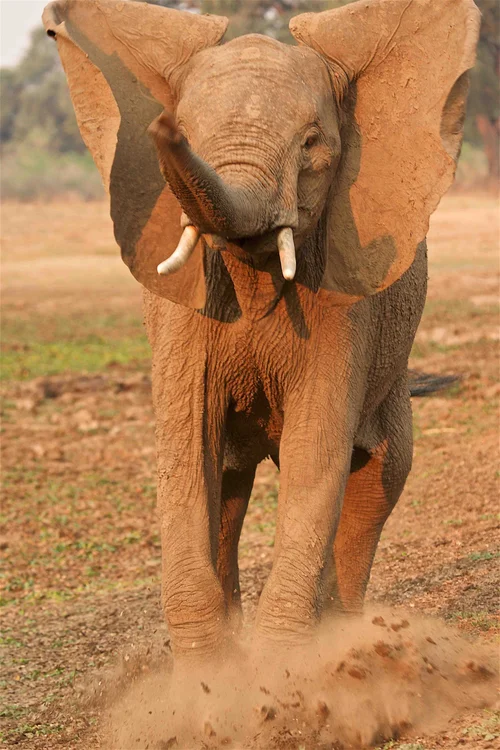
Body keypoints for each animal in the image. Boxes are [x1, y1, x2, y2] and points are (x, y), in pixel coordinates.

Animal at [43, 0, 479, 659]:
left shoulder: (346, 297)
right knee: (229, 486)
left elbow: (315, 448)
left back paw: (344, 636)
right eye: (185, 130)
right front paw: (210, 673)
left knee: (377, 483)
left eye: (312, 144)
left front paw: (278, 671)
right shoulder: (183, 305)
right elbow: (187, 444)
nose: (163, 129)